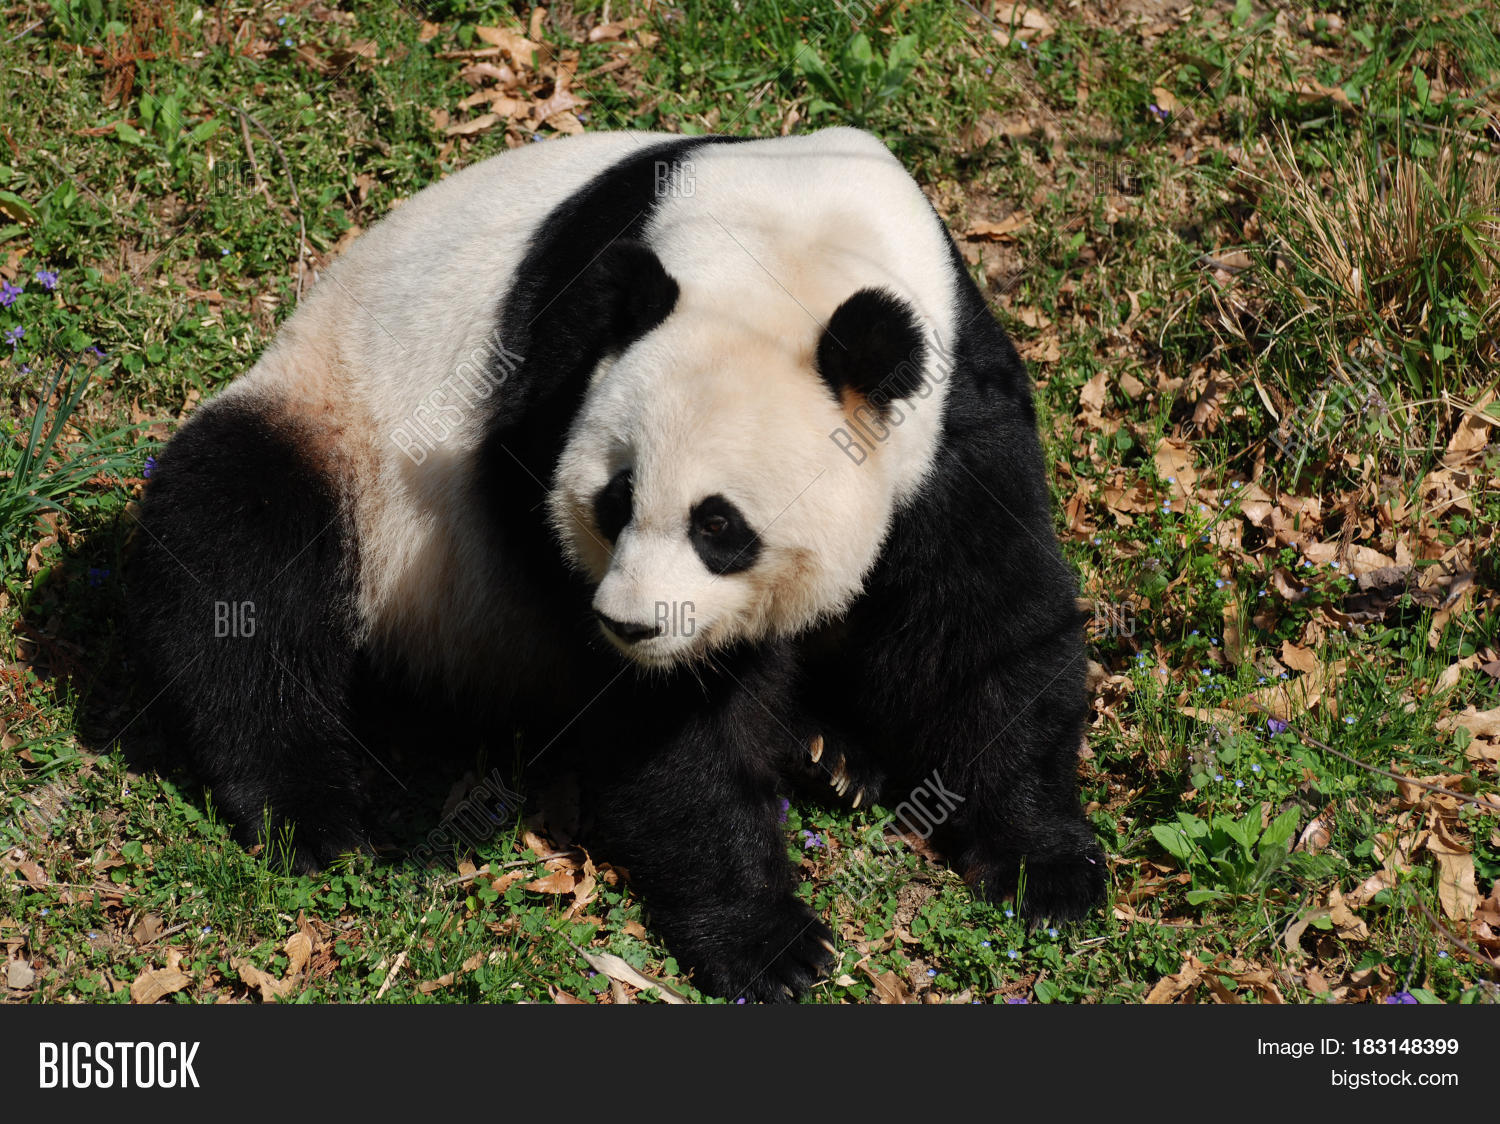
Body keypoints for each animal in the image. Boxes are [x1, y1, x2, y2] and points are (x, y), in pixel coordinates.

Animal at [128, 127, 1104, 1002]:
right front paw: (769, 941)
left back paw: (837, 754)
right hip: (338, 432)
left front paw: (1048, 868)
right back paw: (316, 812)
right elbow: (656, 714)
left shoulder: (955, 411)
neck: (790, 248)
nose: (631, 622)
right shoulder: (554, 382)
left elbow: (986, 624)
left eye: (721, 526)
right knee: (241, 547)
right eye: (614, 503)